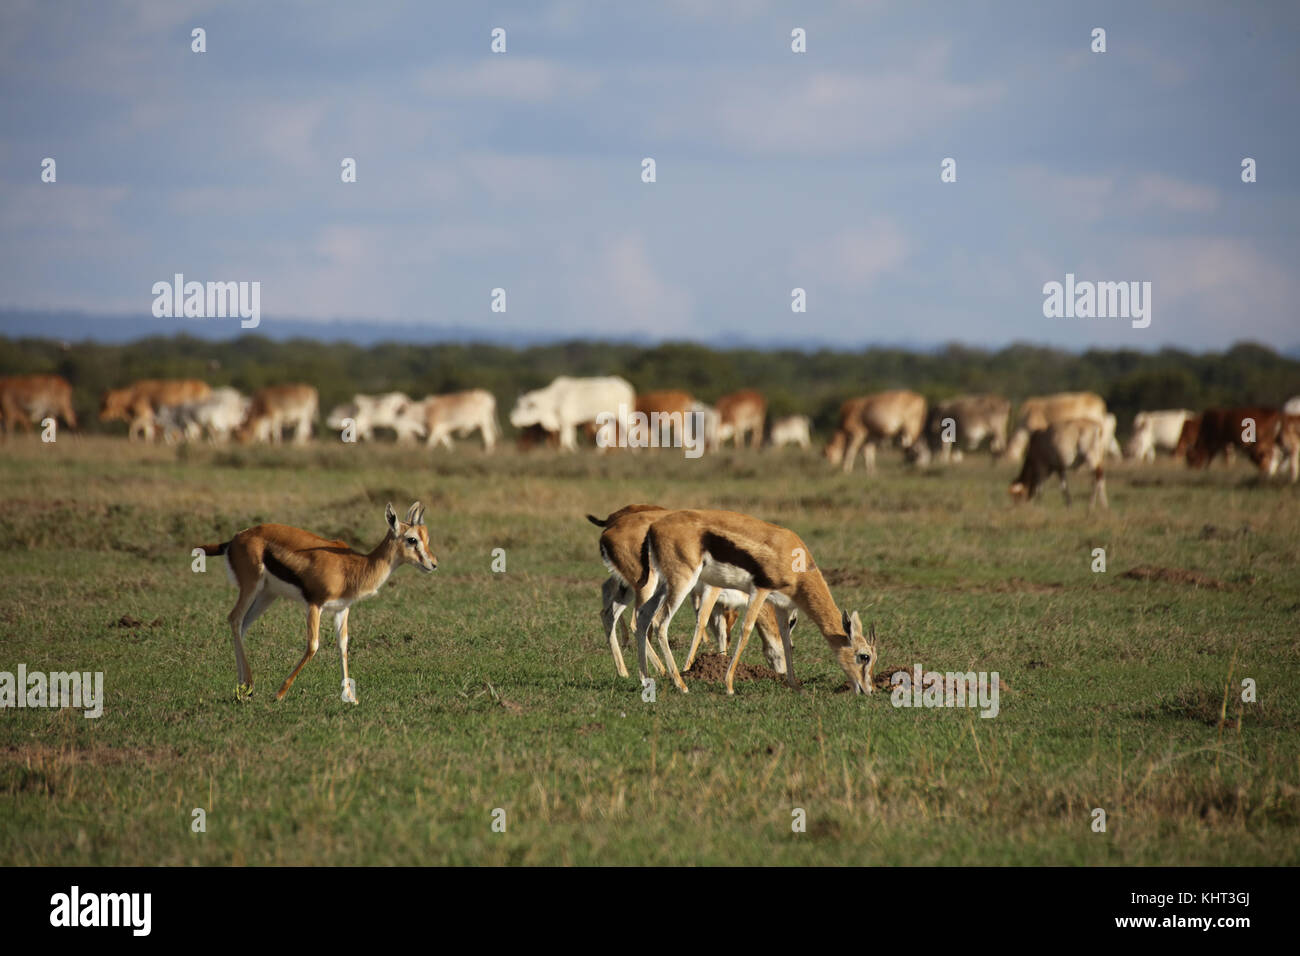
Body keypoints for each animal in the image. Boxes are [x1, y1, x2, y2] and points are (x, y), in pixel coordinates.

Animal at [197, 502, 436, 703]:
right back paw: (247, 685)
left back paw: (244, 688)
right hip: (251, 587)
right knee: (235, 618)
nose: (433, 564)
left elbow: (343, 646)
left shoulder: (342, 609)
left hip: (267, 595)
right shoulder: (314, 605)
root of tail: (235, 539)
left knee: (243, 626)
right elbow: (313, 645)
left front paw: (350, 698)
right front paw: (280, 693)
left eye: (426, 537)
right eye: (412, 539)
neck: (353, 567)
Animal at [636, 509, 878, 696]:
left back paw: (645, 680)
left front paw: (796, 687)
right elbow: (746, 629)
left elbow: (785, 641)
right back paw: (681, 684)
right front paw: (729, 686)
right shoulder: (760, 591)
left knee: (642, 616)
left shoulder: (781, 606)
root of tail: (653, 527)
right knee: (660, 622)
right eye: (863, 656)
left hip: (663, 585)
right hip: (682, 583)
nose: (869, 690)